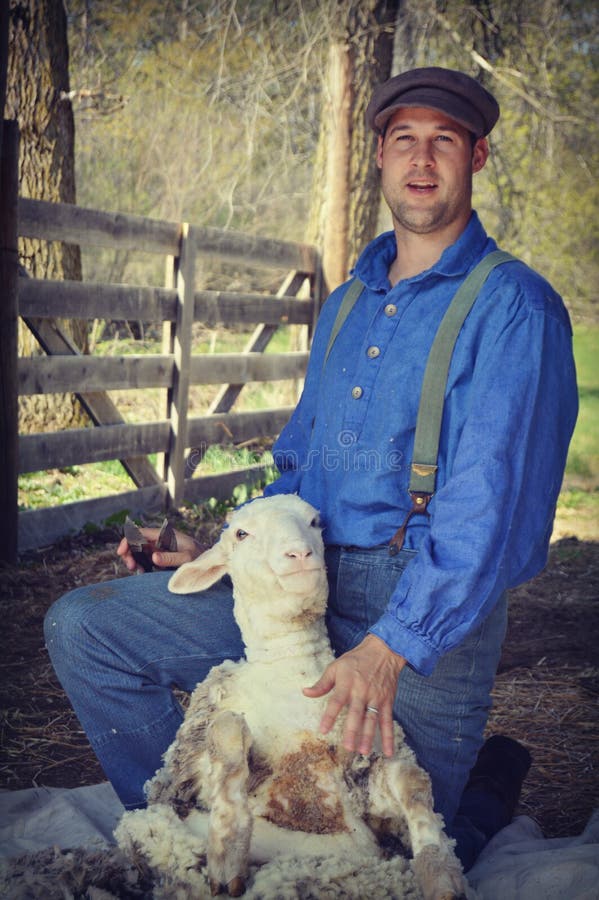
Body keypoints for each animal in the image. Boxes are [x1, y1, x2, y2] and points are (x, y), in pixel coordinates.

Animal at [116, 493, 468, 899]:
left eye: (315, 522)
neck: (291, 673)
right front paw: (227, 852)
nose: (299, 553)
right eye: (241, 533)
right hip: (152, 823)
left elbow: (412, 782)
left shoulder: (365, 778)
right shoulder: (194, 767)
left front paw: (440, 871)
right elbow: (225, 732)